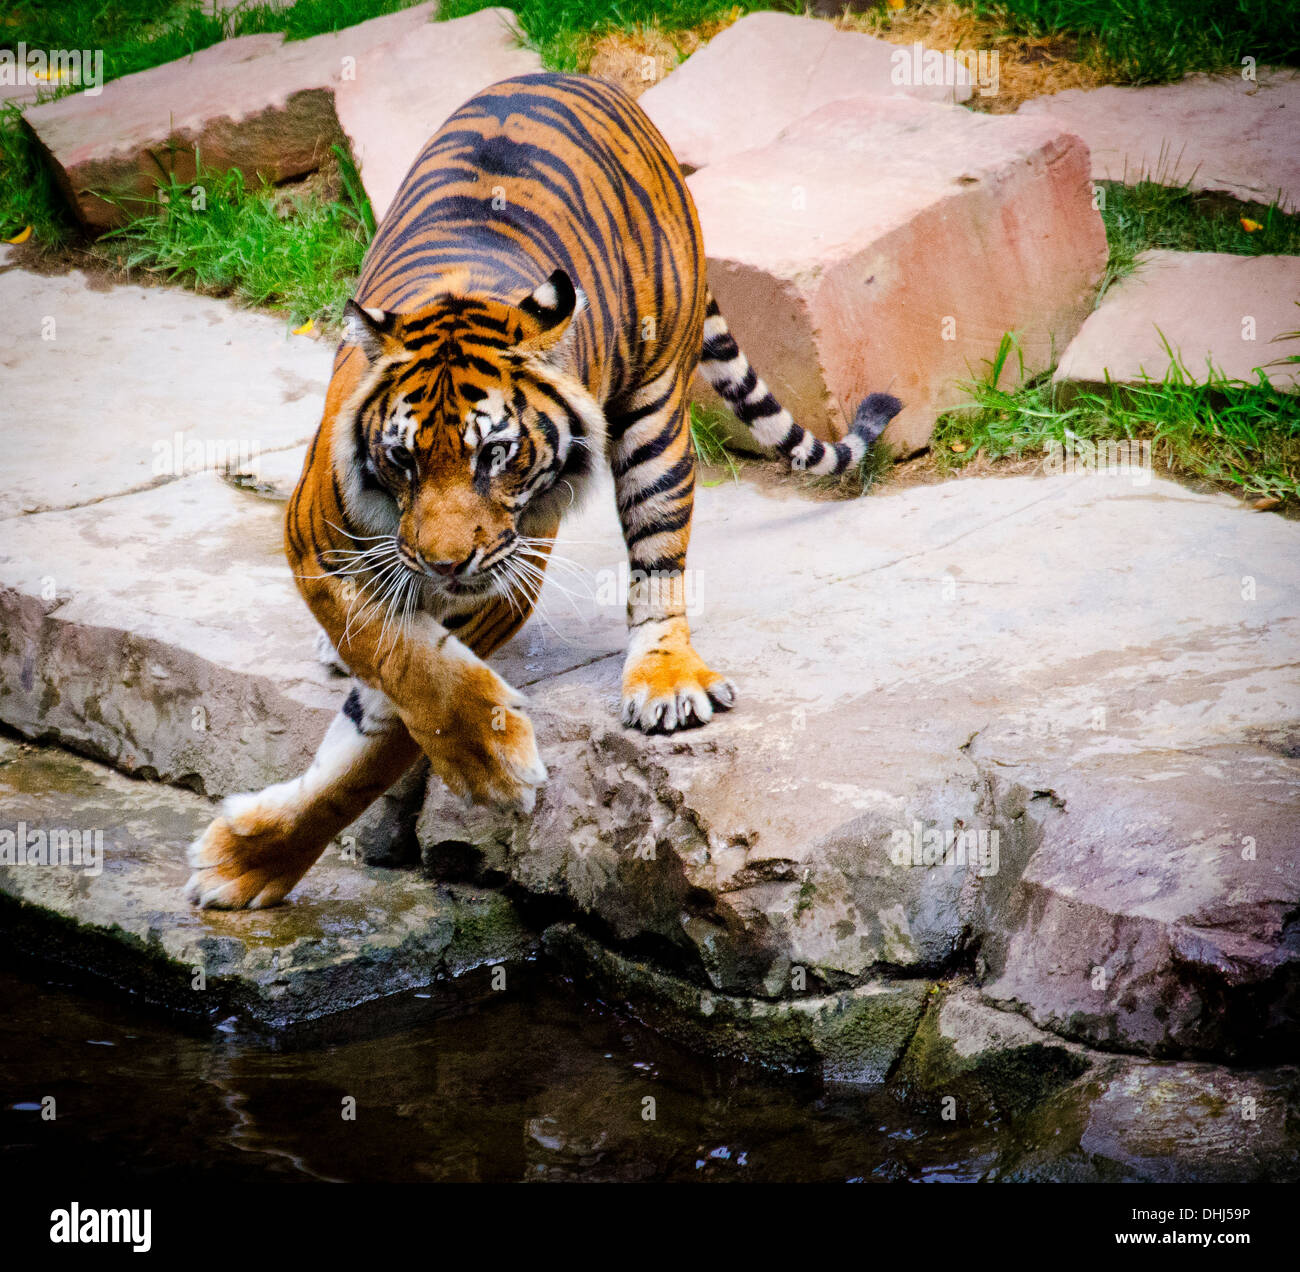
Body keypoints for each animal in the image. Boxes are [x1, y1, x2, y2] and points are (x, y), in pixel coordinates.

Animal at [186, 71, 901, 909]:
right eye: (402, 461)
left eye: (494, 455)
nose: (442, 564)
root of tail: (582, 79)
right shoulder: (319, 547)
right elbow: (397, 668)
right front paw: (252, 862)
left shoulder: (503, 576)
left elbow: (393, 726)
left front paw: (484, 771)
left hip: (656, 415)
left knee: (659, 569)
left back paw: (667, 681)